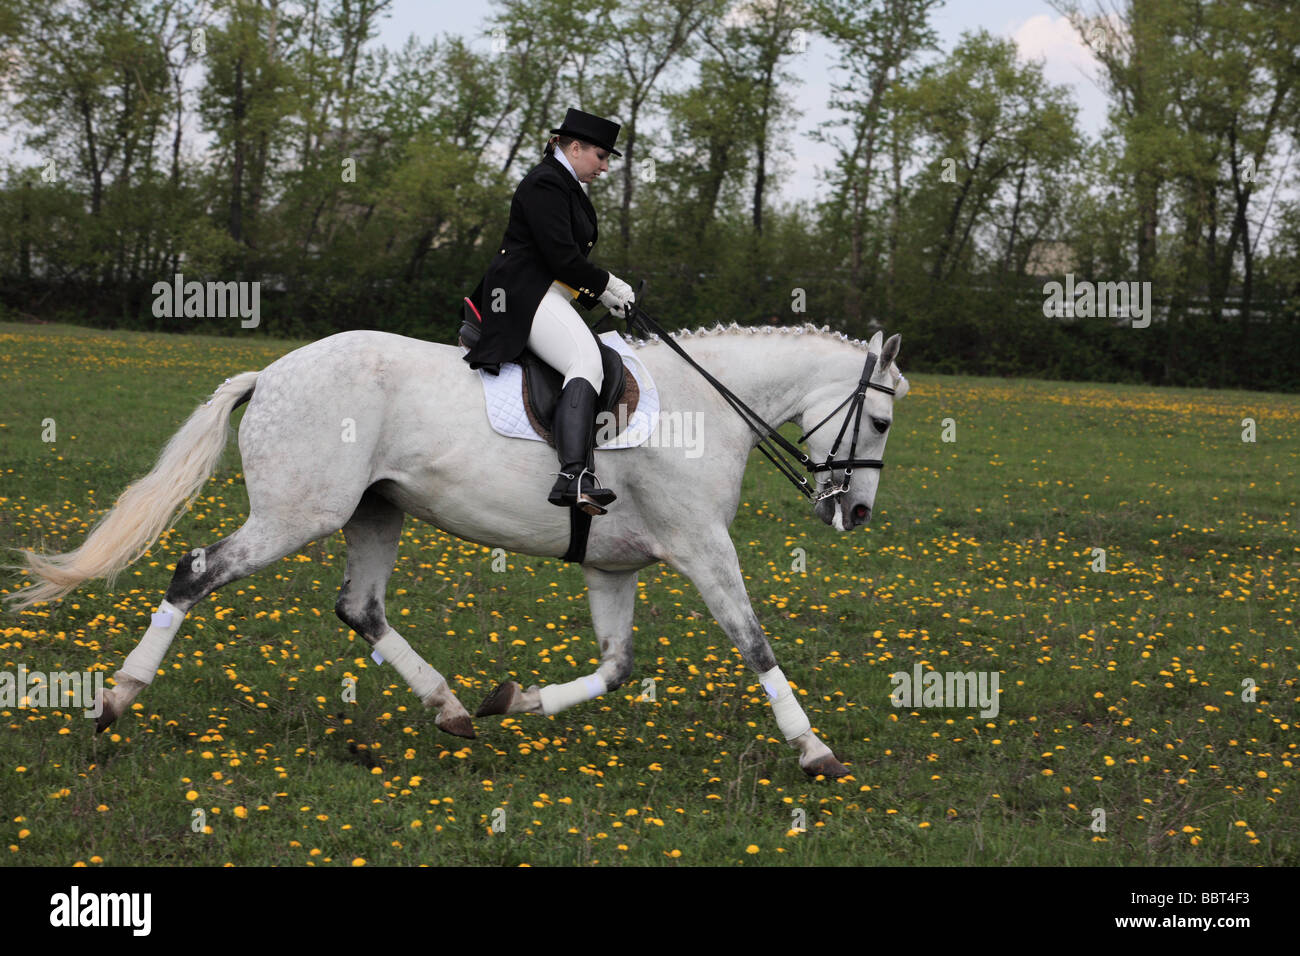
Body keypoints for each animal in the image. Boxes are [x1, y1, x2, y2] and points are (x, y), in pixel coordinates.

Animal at [7, 323, 908, 778]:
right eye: (882, 419)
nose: (857, 513)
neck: (702, 405)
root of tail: (272, 372)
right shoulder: (701, 547)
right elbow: (755, 644)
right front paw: (815, 750)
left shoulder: (612, 565)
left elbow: (616, 668)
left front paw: (511, 700)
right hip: (301, 513)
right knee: (195, 573)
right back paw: (116, 700)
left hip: (375, 512)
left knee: (359, 607)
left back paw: (449, 709)